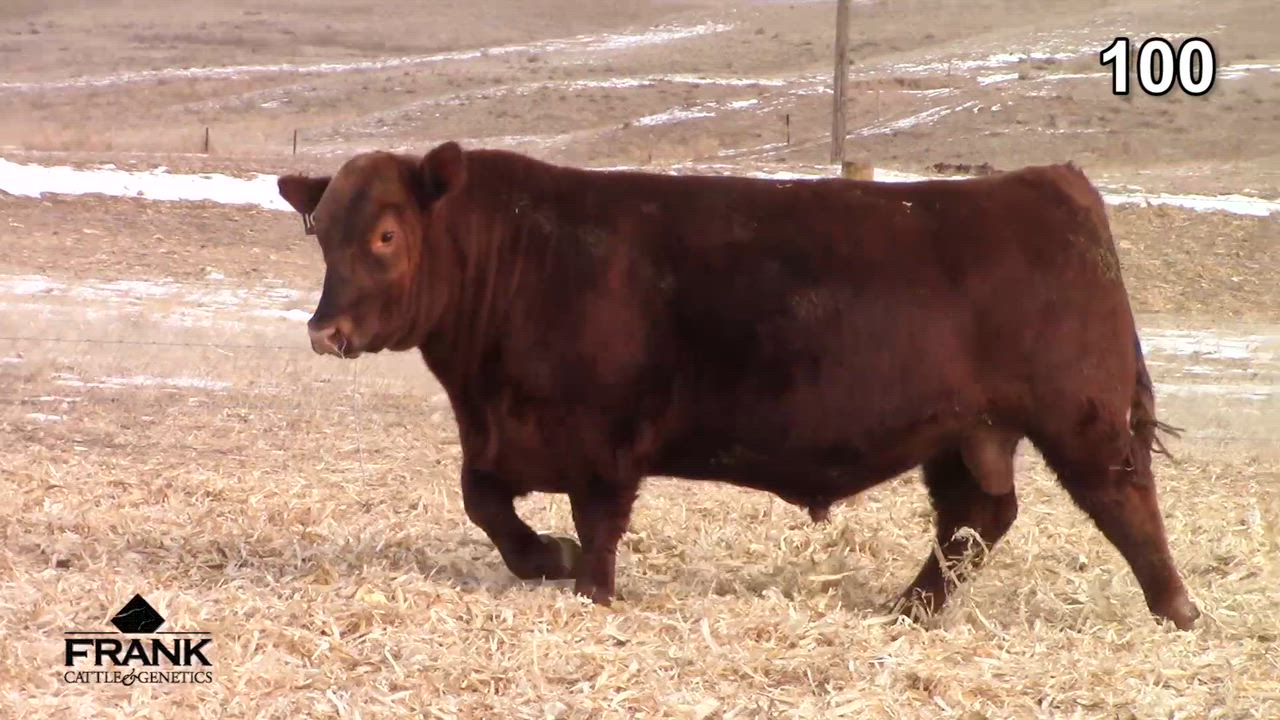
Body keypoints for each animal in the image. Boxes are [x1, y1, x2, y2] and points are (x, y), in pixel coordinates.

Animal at [275, 142, 1199, 630]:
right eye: (320, 232)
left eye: (387, 234)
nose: (325, 332)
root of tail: (1050, 181)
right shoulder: (499, 439)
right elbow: (486, 506)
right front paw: (545, 558)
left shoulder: (605, 441)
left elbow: (597, 524)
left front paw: (587, 585)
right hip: (967, 433)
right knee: (976, 520)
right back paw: (910, 607)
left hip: (1080, 418)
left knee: (1124, 500)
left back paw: (1176, 606)